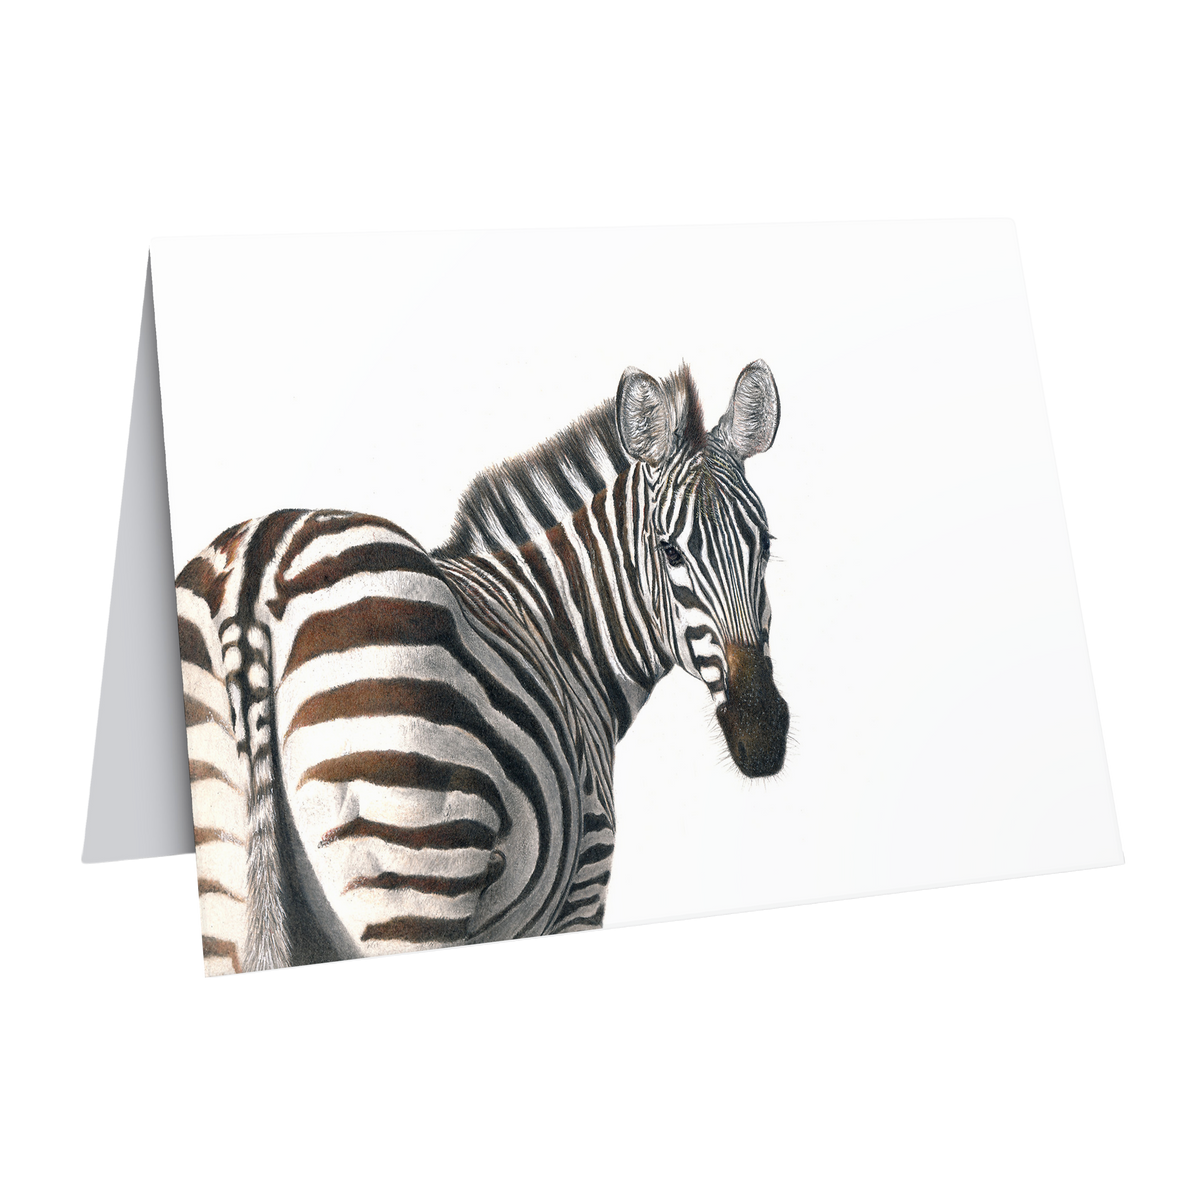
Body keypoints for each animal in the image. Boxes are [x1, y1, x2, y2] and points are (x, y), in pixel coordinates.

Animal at [176, 360, 788, 977]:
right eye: (670, 552)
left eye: (765, 545)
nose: (762, 730)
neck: (562, 632)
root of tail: (255, 567)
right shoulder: (584, 879)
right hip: (412, 868)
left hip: (228, 885)